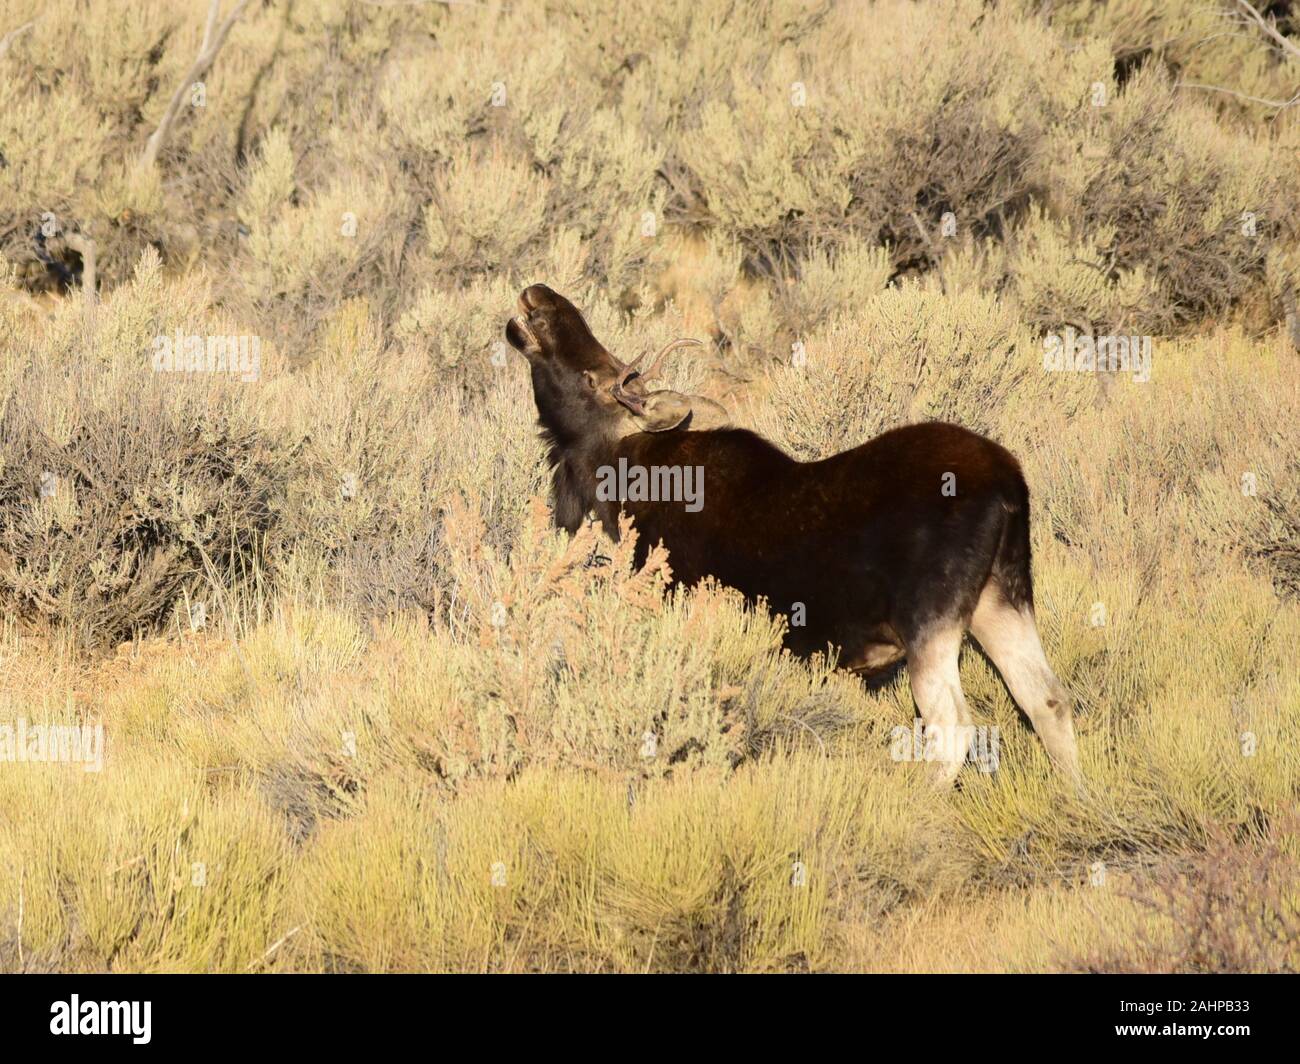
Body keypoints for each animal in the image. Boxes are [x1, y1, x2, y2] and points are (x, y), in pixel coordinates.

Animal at [506, 284, 1081, 787]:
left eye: (593, 378)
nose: (541, 296)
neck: (618, 484)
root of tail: (1010, 484)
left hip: (930, 622)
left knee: (953, 726)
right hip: (1002, 598)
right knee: (1048, 698)